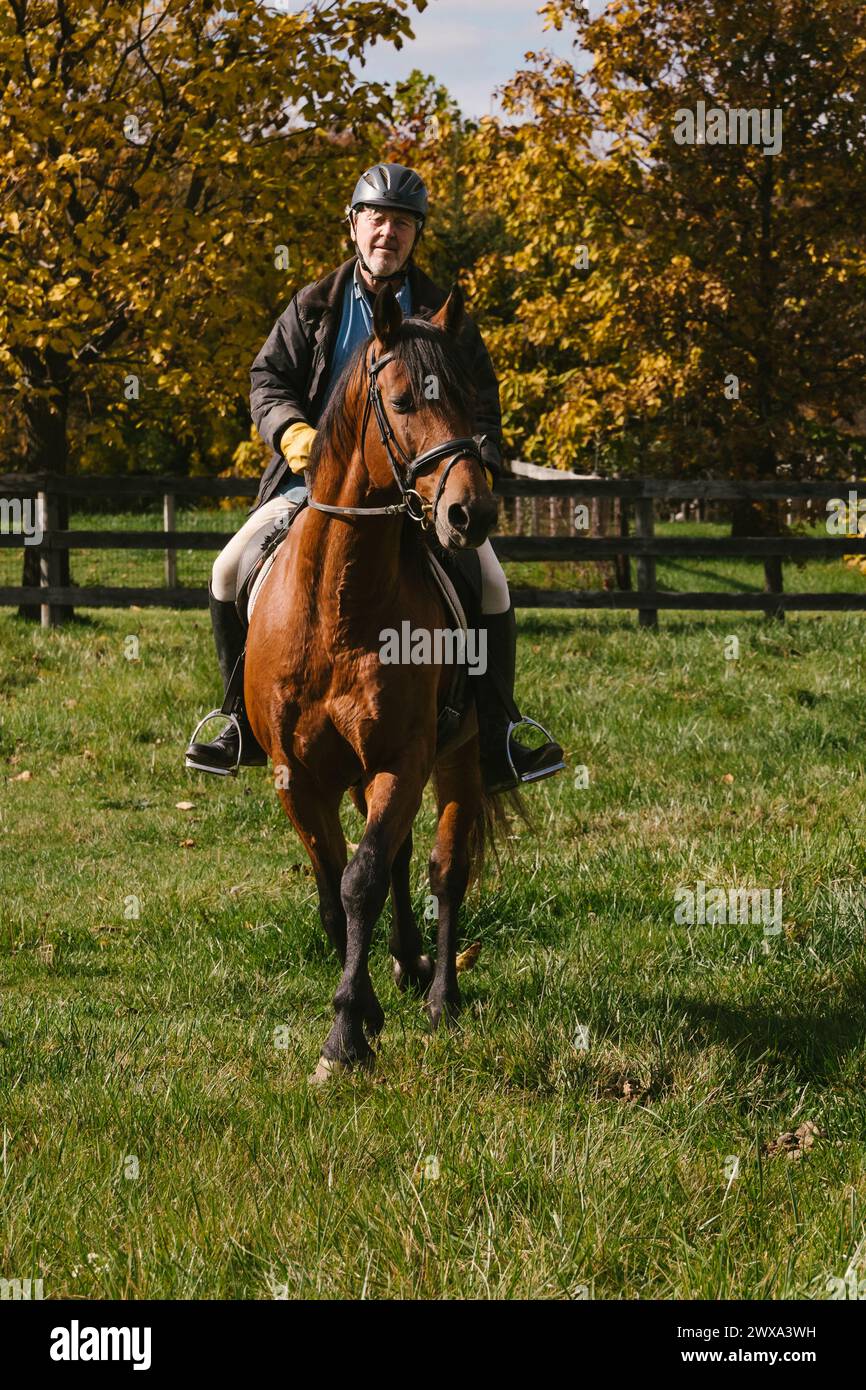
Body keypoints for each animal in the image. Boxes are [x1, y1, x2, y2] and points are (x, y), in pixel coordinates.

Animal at [244, 281, 503, 1083]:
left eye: (467, 397)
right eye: (401, 400)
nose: (470, 513)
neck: (341, 605)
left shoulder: (403, 759)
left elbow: (362, 879)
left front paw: (345, 1037)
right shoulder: (298, 775)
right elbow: (337, 884)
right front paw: (363, 1008)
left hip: (457, 758)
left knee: (444, 868)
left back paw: (440, 994)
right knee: (395, 859)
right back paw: (404, 966)